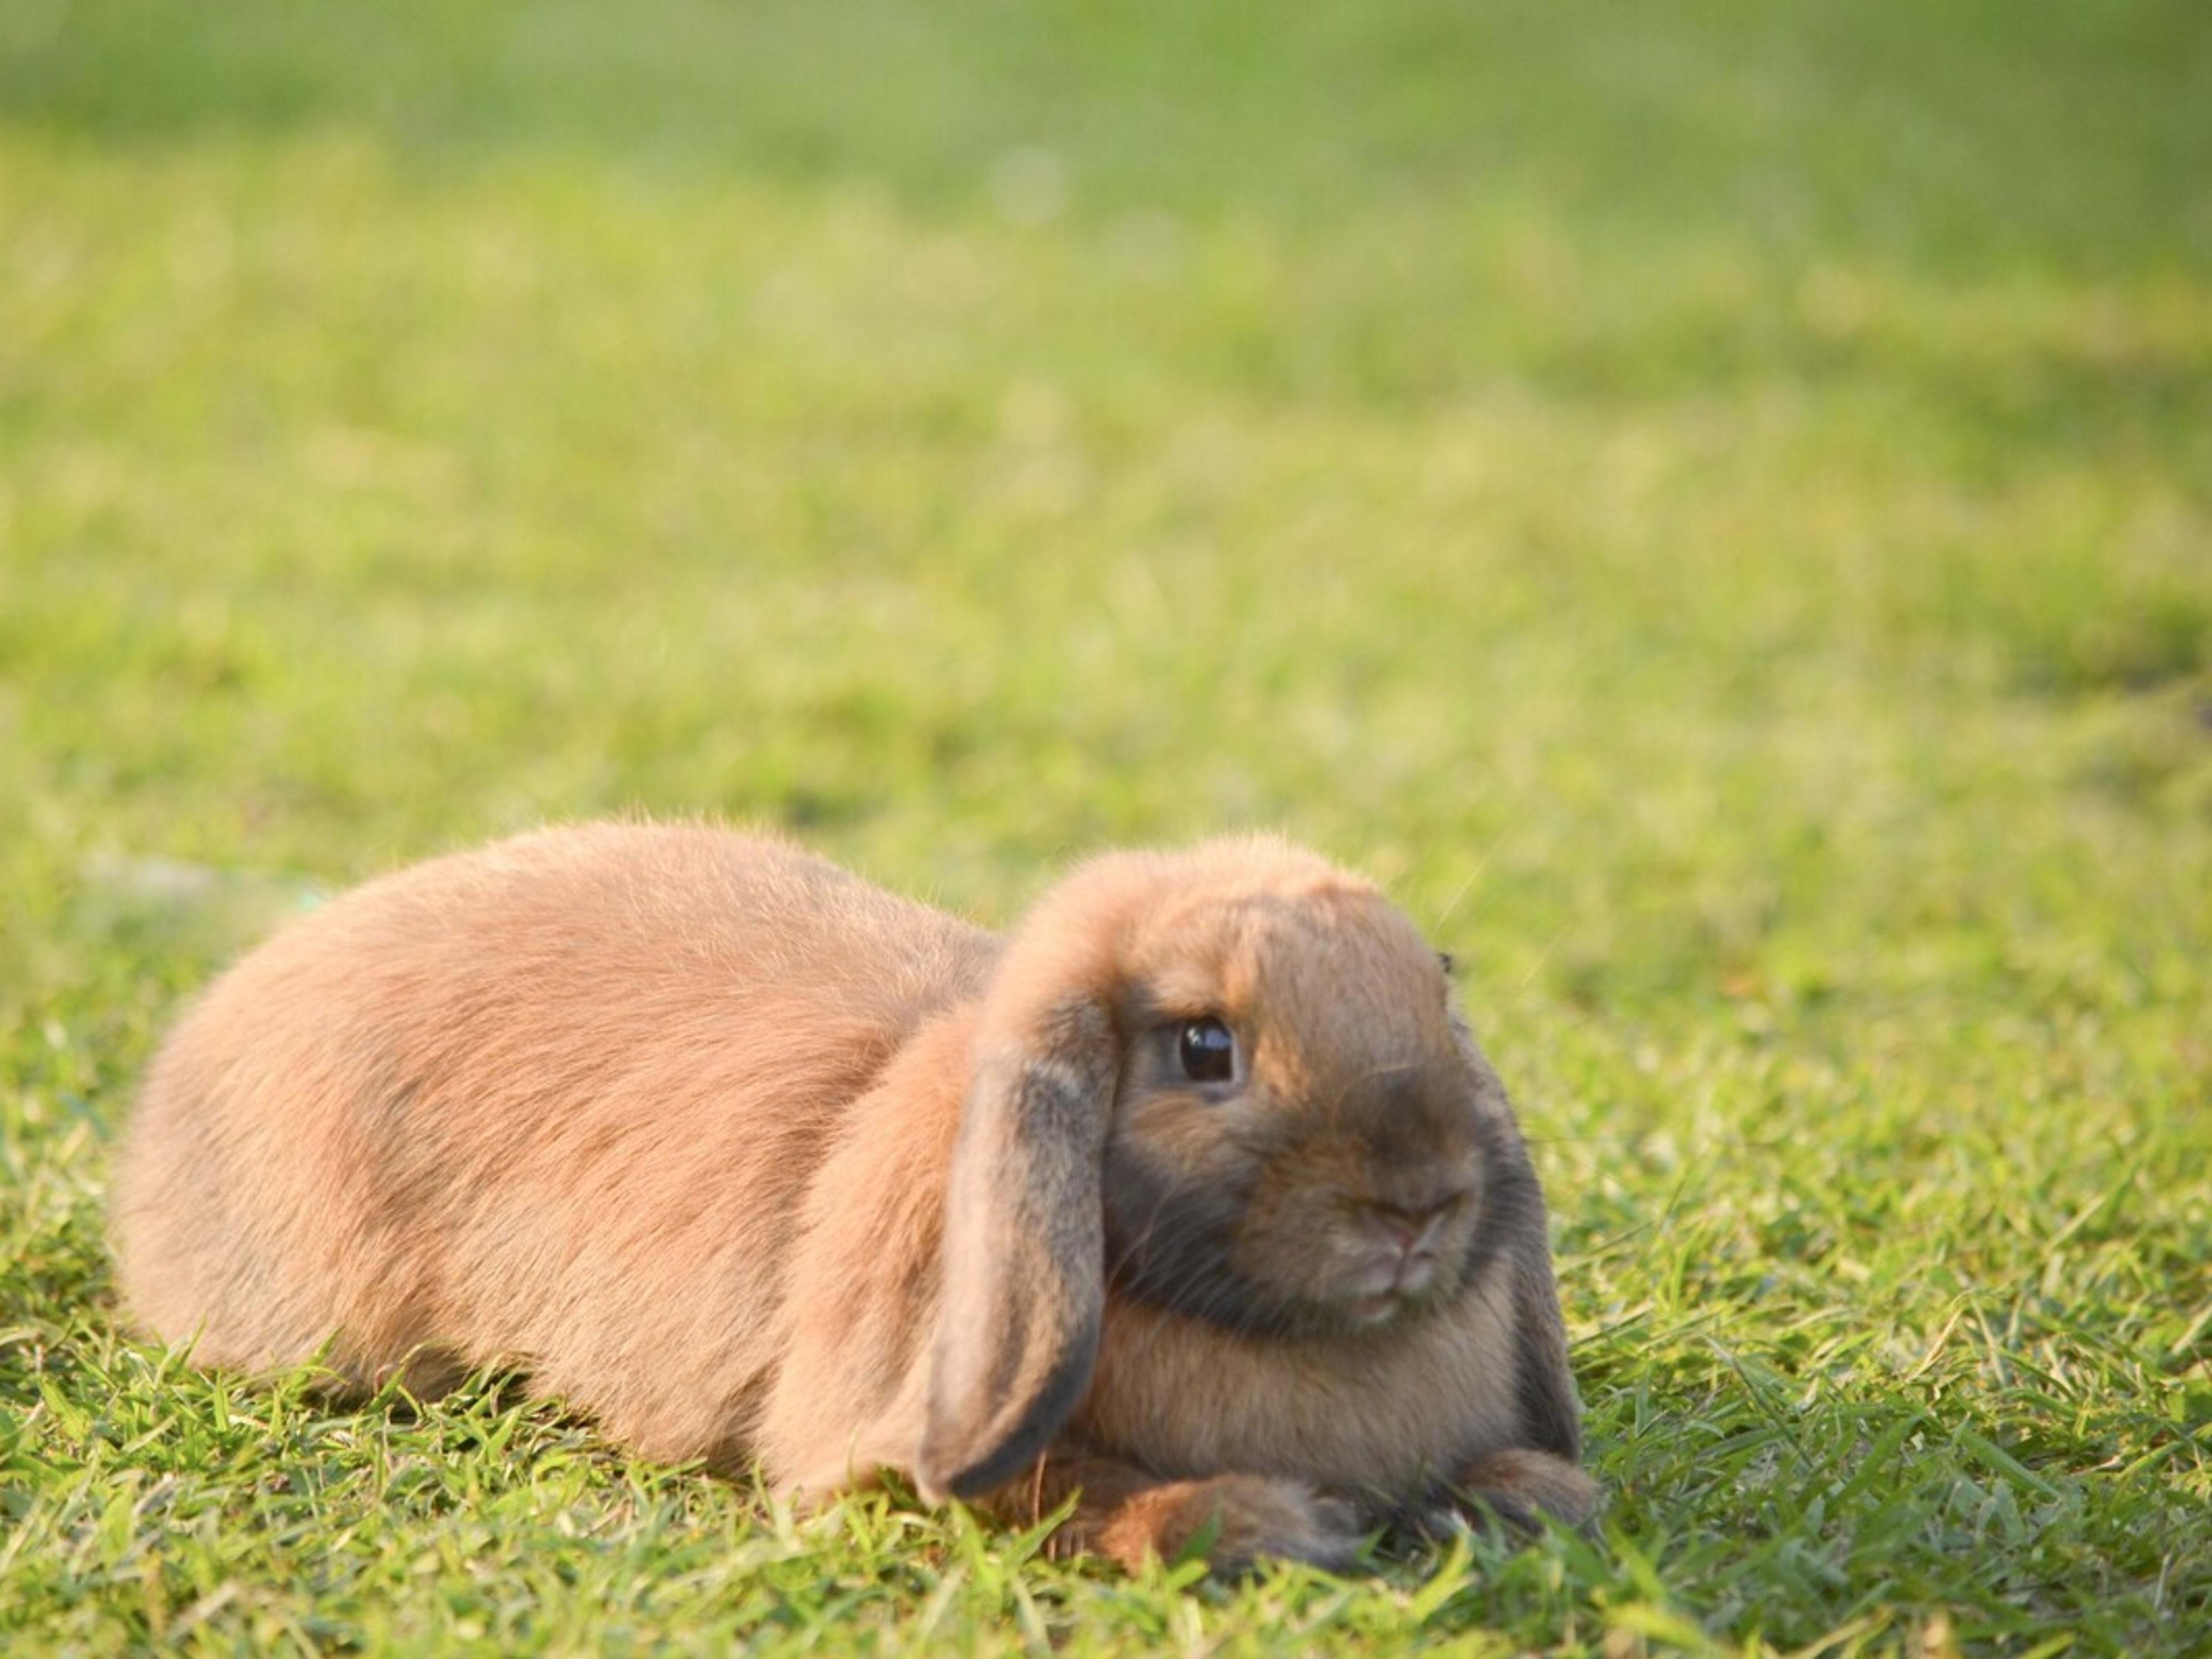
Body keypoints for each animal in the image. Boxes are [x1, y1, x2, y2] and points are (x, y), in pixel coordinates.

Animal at [112, 821, 1597, 1571]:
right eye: (1202, 1046)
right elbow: (1053, 1491)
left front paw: (1525, 1496)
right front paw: (1267, 1529)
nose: (1415, 1206)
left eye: (1438, 989)